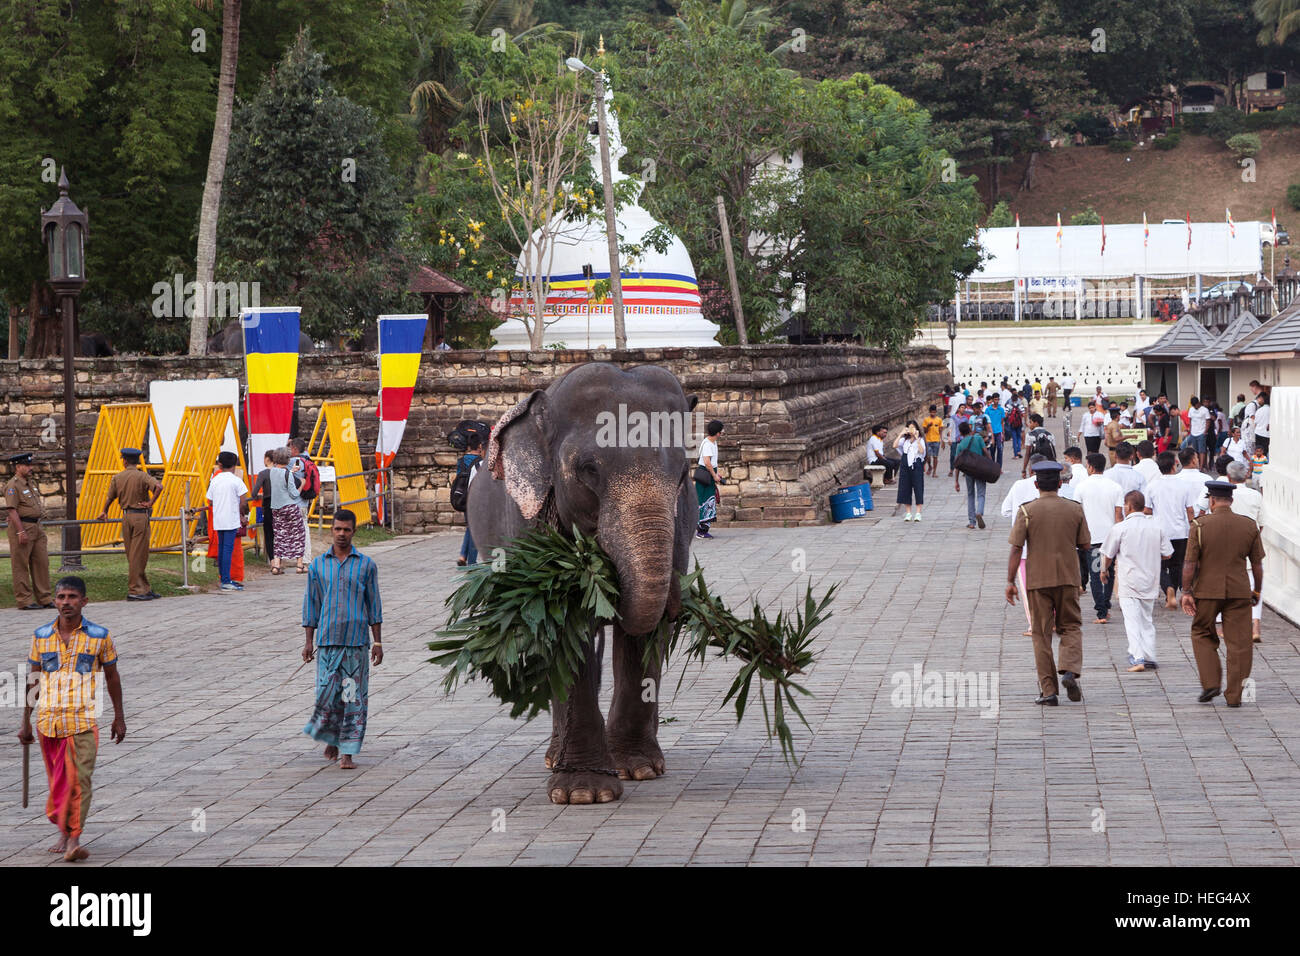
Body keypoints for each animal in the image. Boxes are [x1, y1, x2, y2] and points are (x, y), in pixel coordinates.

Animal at [468, 362, 698, 805]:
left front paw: (639, 769)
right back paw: (553, 759)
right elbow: (563, 624)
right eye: (589, 469)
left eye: (683, 473)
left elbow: (644, 634)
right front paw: (583, 794)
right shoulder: (529, 524)